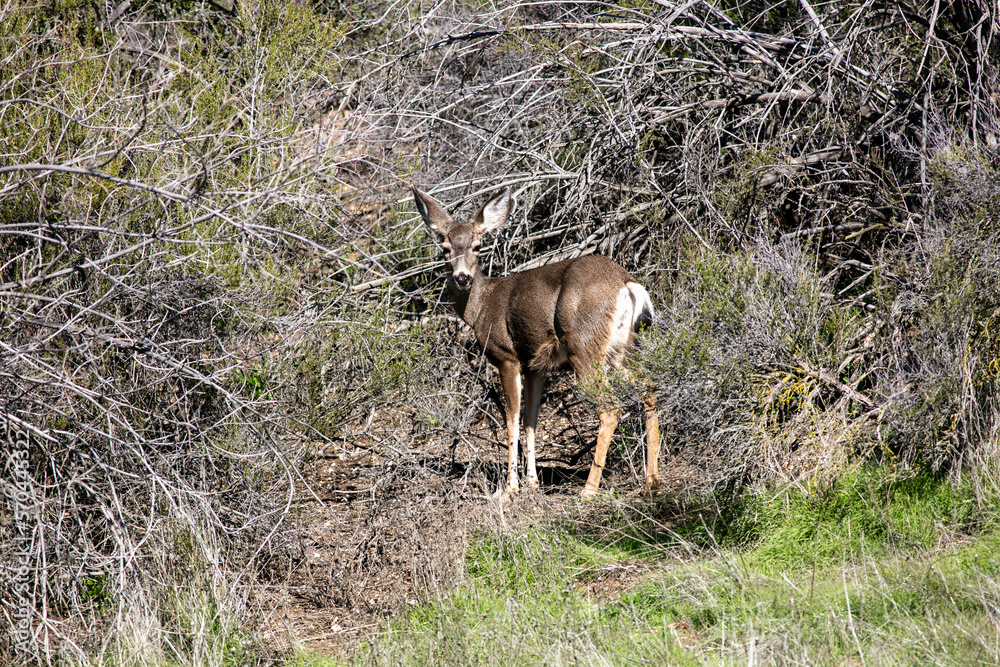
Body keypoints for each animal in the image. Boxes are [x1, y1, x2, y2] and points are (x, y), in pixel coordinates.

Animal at [412, 185, 661, 500]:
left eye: (478, 246)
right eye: (444, 248)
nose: (462, 278)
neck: (481, 307)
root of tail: (629, 286)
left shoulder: (506, 356)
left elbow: (512, 420)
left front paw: (510, 488)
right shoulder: (535, 366)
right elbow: (531, 420)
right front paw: (532, 482)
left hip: (584, 346)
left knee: (610, 406)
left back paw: (589, 490)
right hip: (624, 350)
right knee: (648, 388)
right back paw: (652, 482)